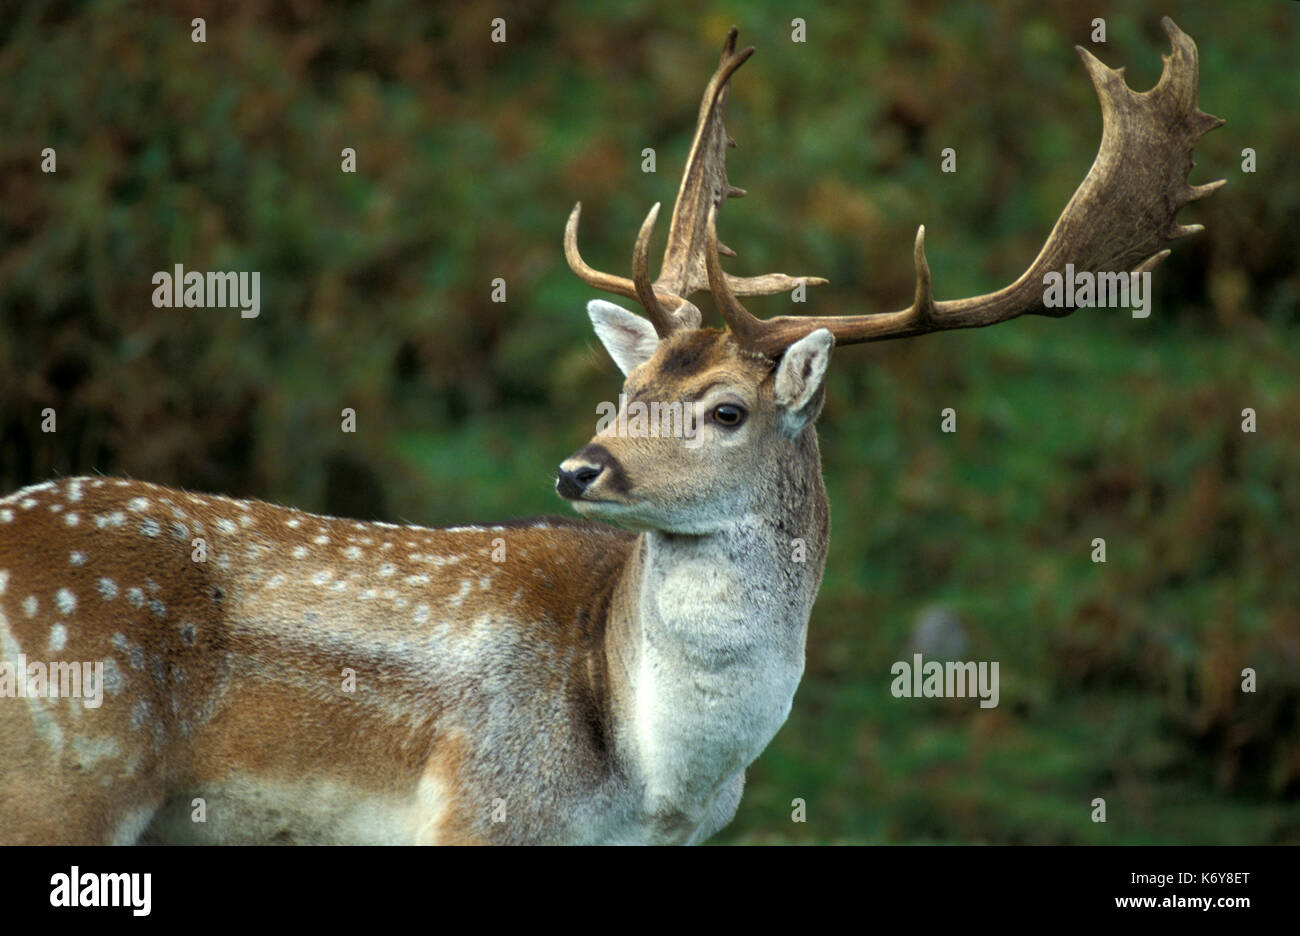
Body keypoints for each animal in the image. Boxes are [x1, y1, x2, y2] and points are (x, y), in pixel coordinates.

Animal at [0, 20, 1222, 845]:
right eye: (624, 390)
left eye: (725, 407)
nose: (580, 468)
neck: (652, 774)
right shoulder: (481, 809)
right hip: (66, 778)